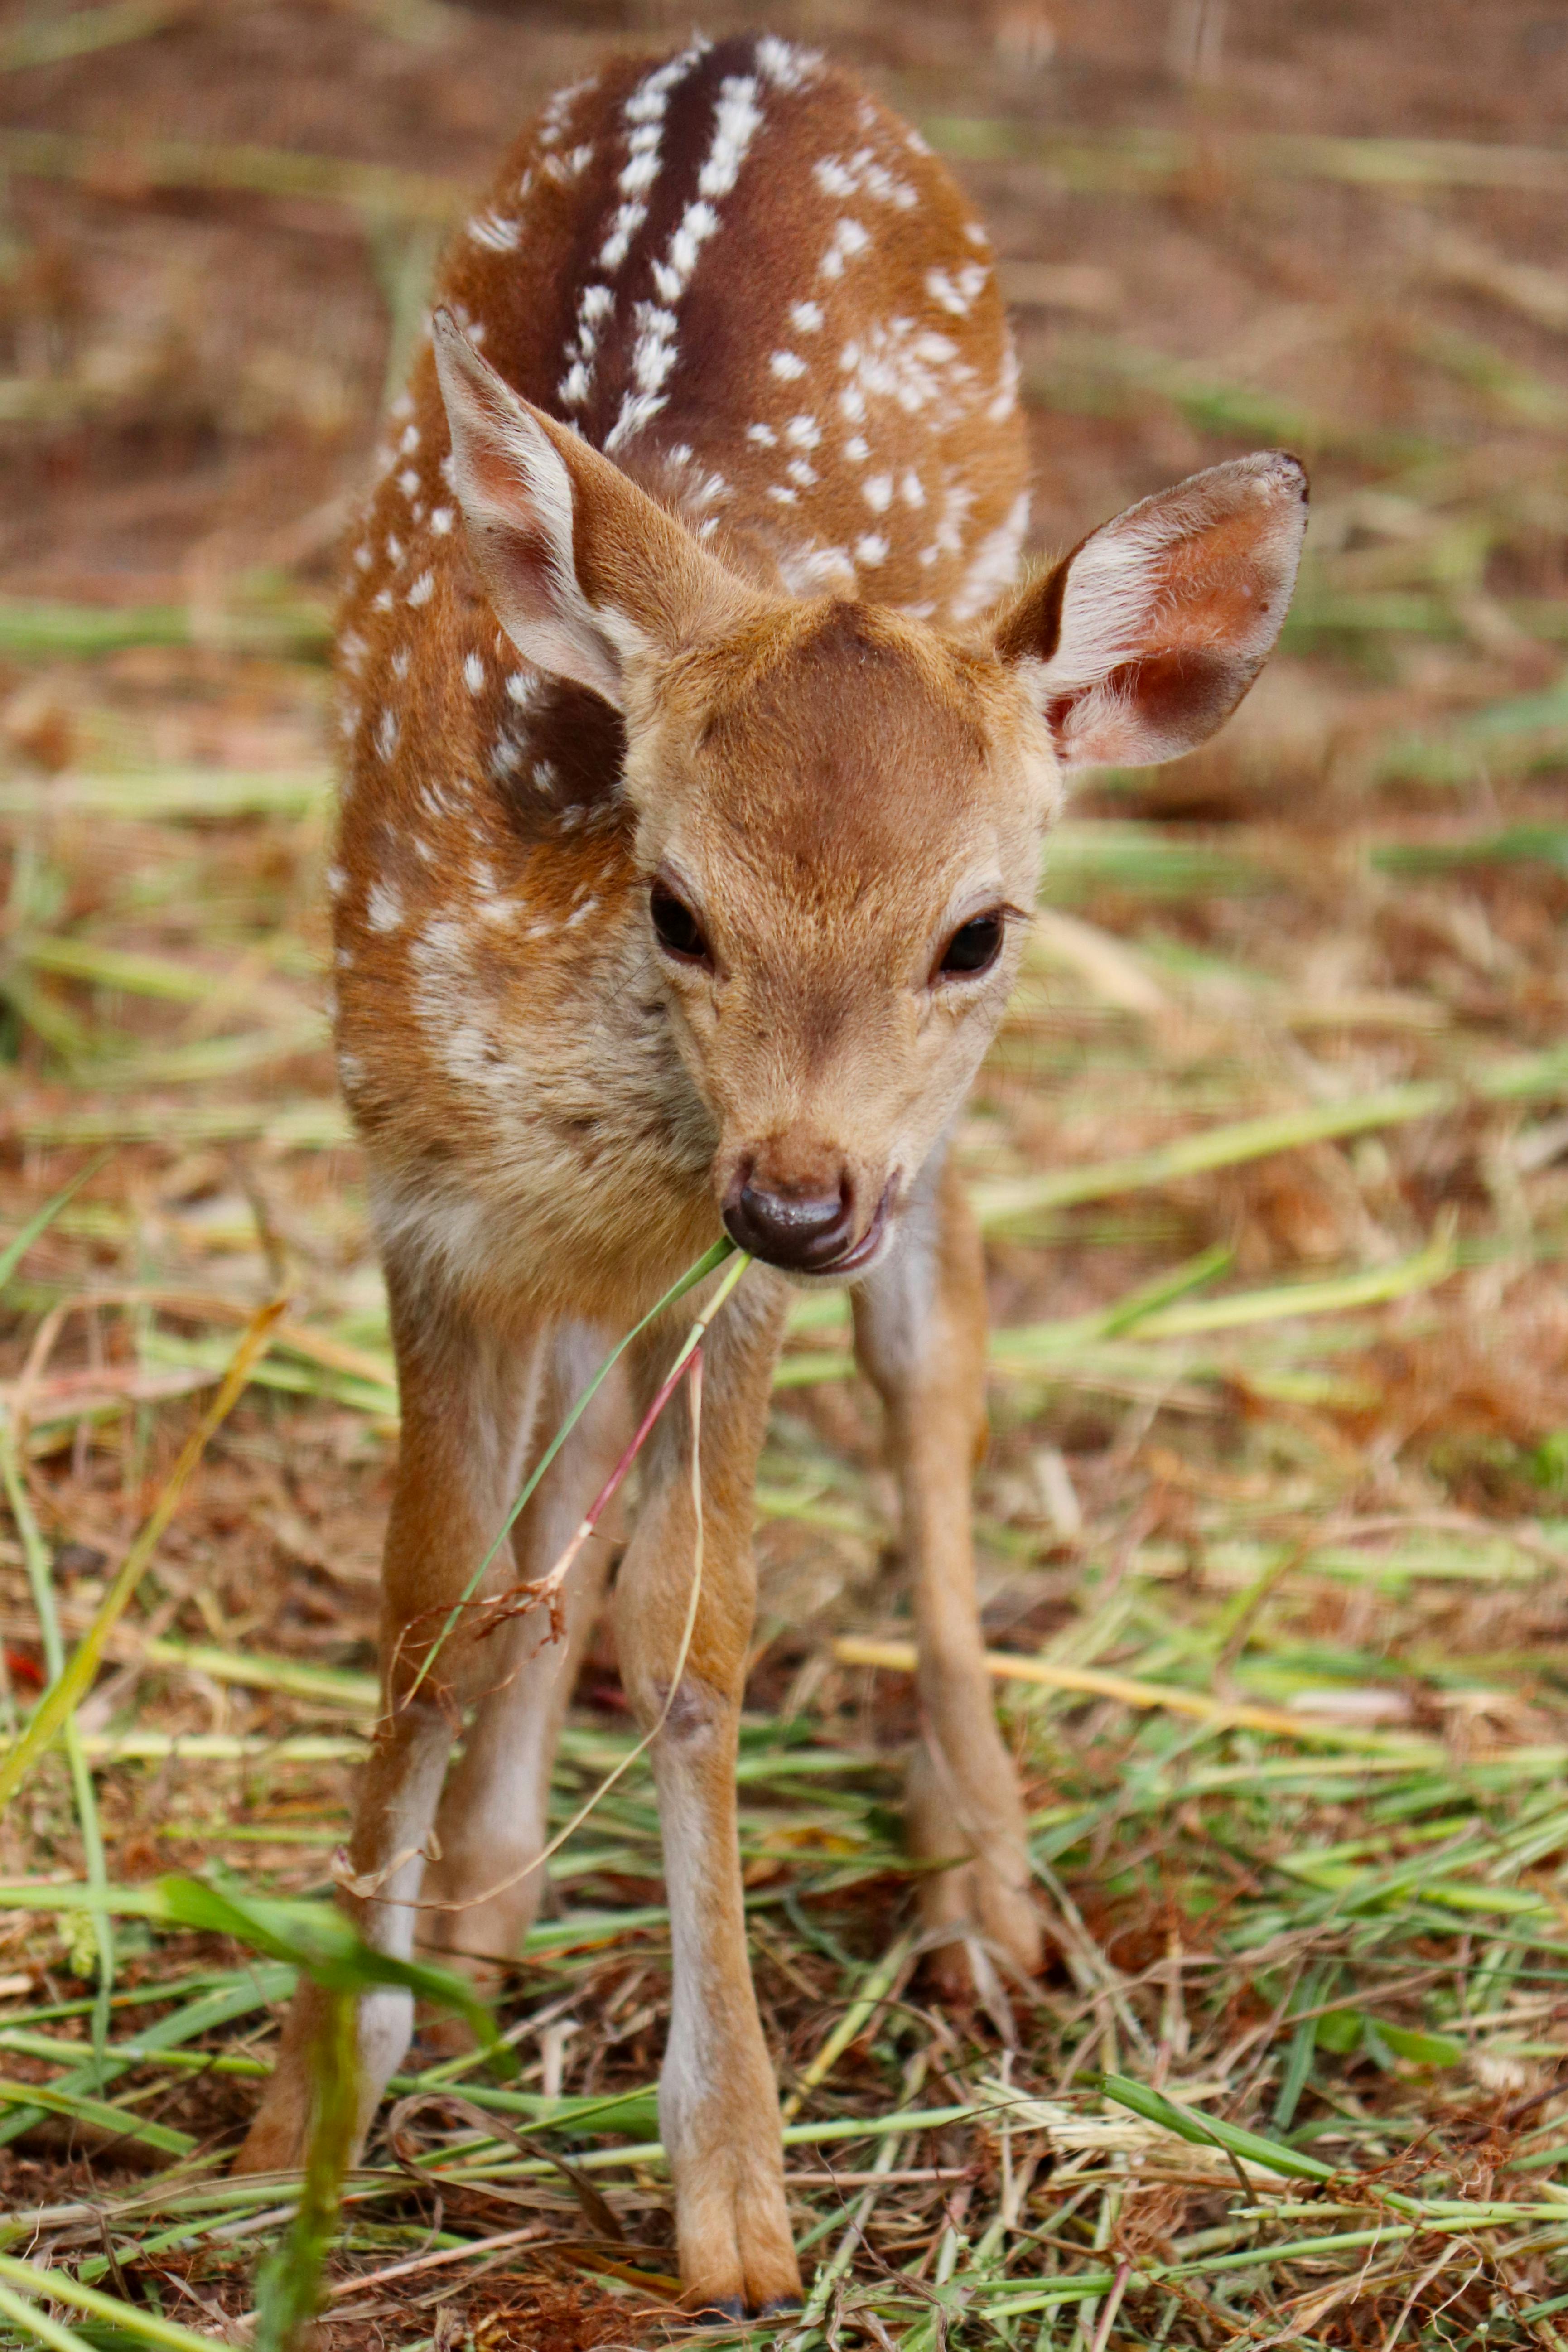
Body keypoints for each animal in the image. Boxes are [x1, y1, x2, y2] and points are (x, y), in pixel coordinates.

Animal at [235, 32, 1306, 2318]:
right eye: (681, 906)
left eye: (974, 928)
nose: (795, 1196)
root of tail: (761, 48)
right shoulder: (421, 1199)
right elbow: (425, 1603)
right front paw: (318, 2088)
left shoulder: (723, 1263)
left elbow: (706, 1631)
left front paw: (729, 2198)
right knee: (586, 1459)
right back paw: (492, 1882)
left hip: (914, 1166)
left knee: (933, 1356)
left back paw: (981, 1877)